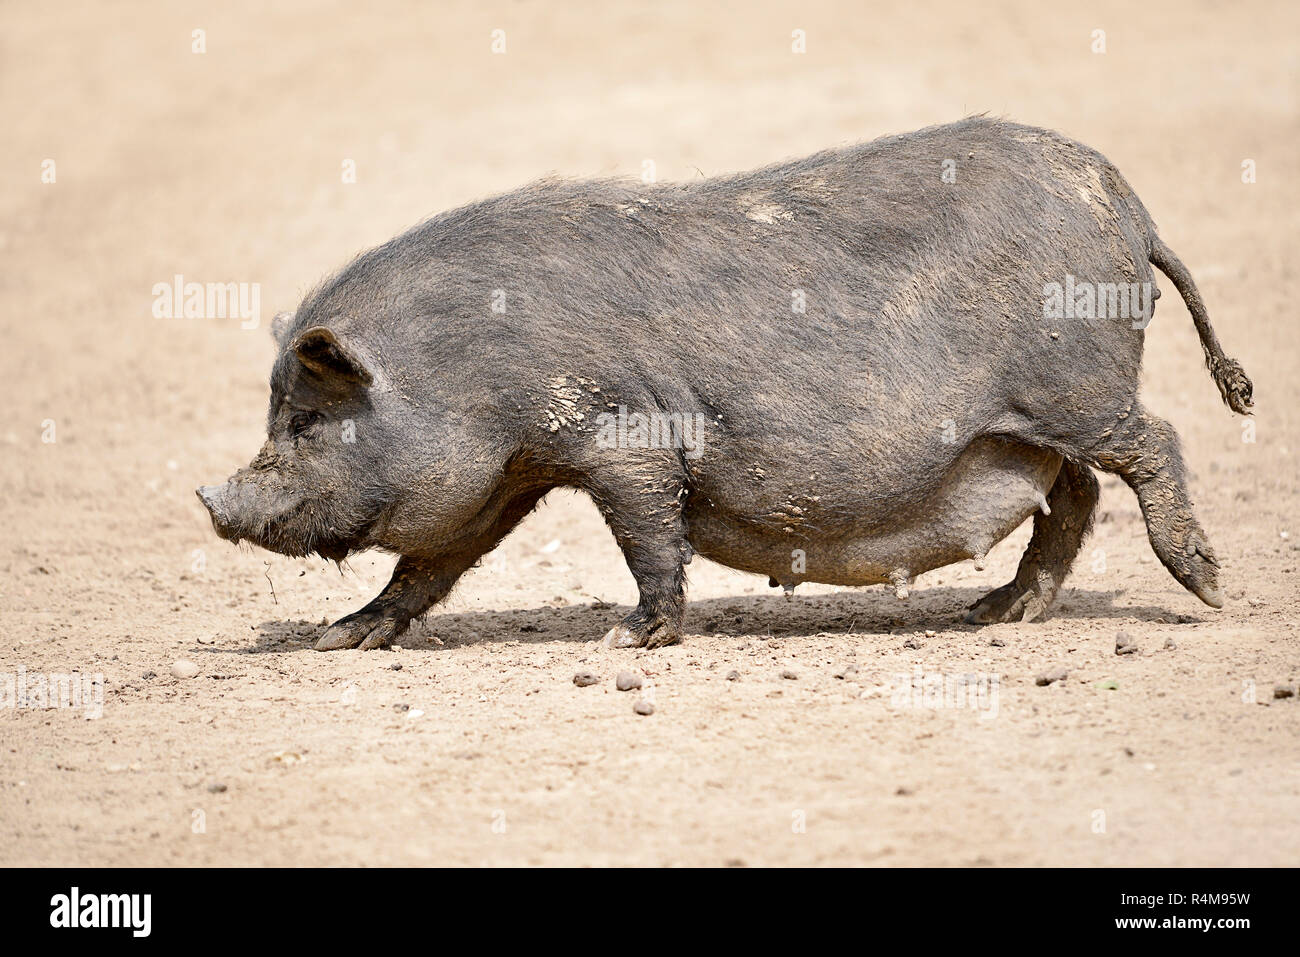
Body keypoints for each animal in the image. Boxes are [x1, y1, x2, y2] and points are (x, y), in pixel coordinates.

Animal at [197, 117, 1253, 651]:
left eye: (305, 418)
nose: (210, 498)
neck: (466, 375)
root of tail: (1128, 206)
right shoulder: (506, 474)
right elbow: (428, 565)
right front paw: (337, 638)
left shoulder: (618, 434)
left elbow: (647, 538)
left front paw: (624, 641)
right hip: (1027, 424)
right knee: (1073, 496)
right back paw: (994, 614)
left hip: (1080, 387)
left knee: (1155, 444)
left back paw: (1208, 589)